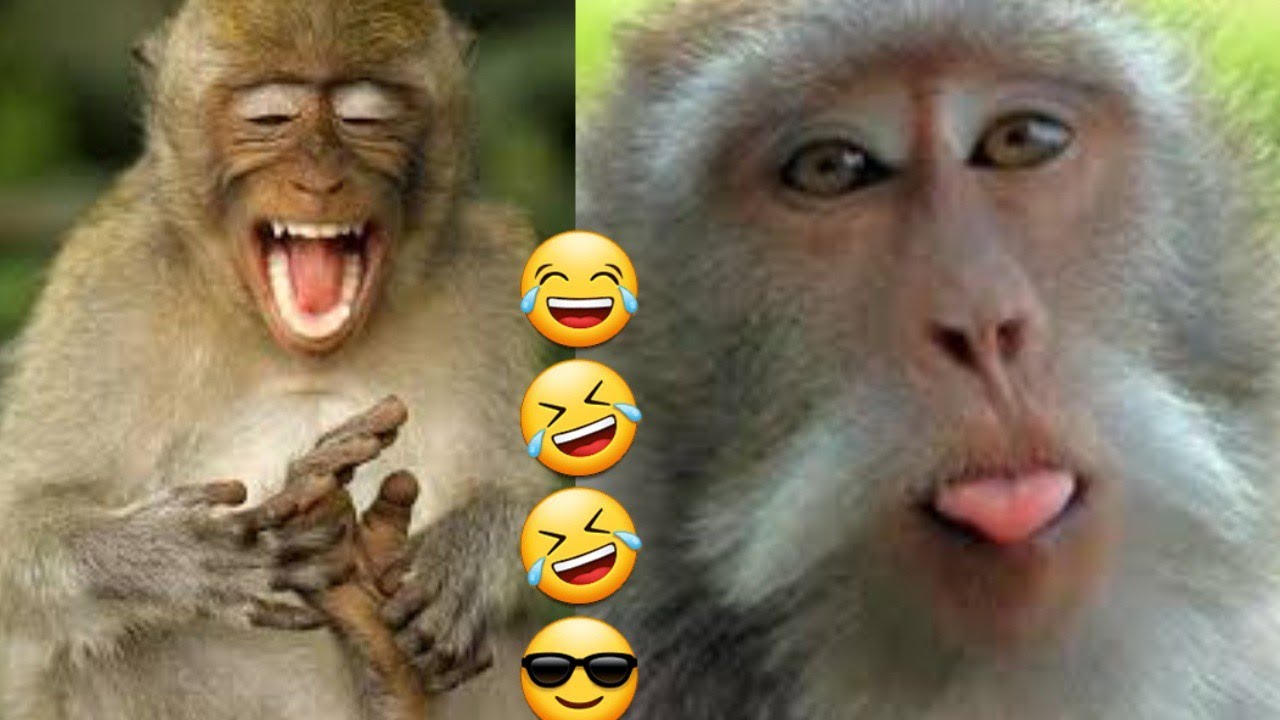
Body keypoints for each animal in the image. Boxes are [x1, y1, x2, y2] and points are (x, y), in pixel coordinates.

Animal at [0, 0, 555, 718]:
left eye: (365, 118)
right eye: (270, 119)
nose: (319, 180)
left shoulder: (491, 271)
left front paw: (473, 552)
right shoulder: (110, 280)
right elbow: (21, 520)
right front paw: (180, 554)